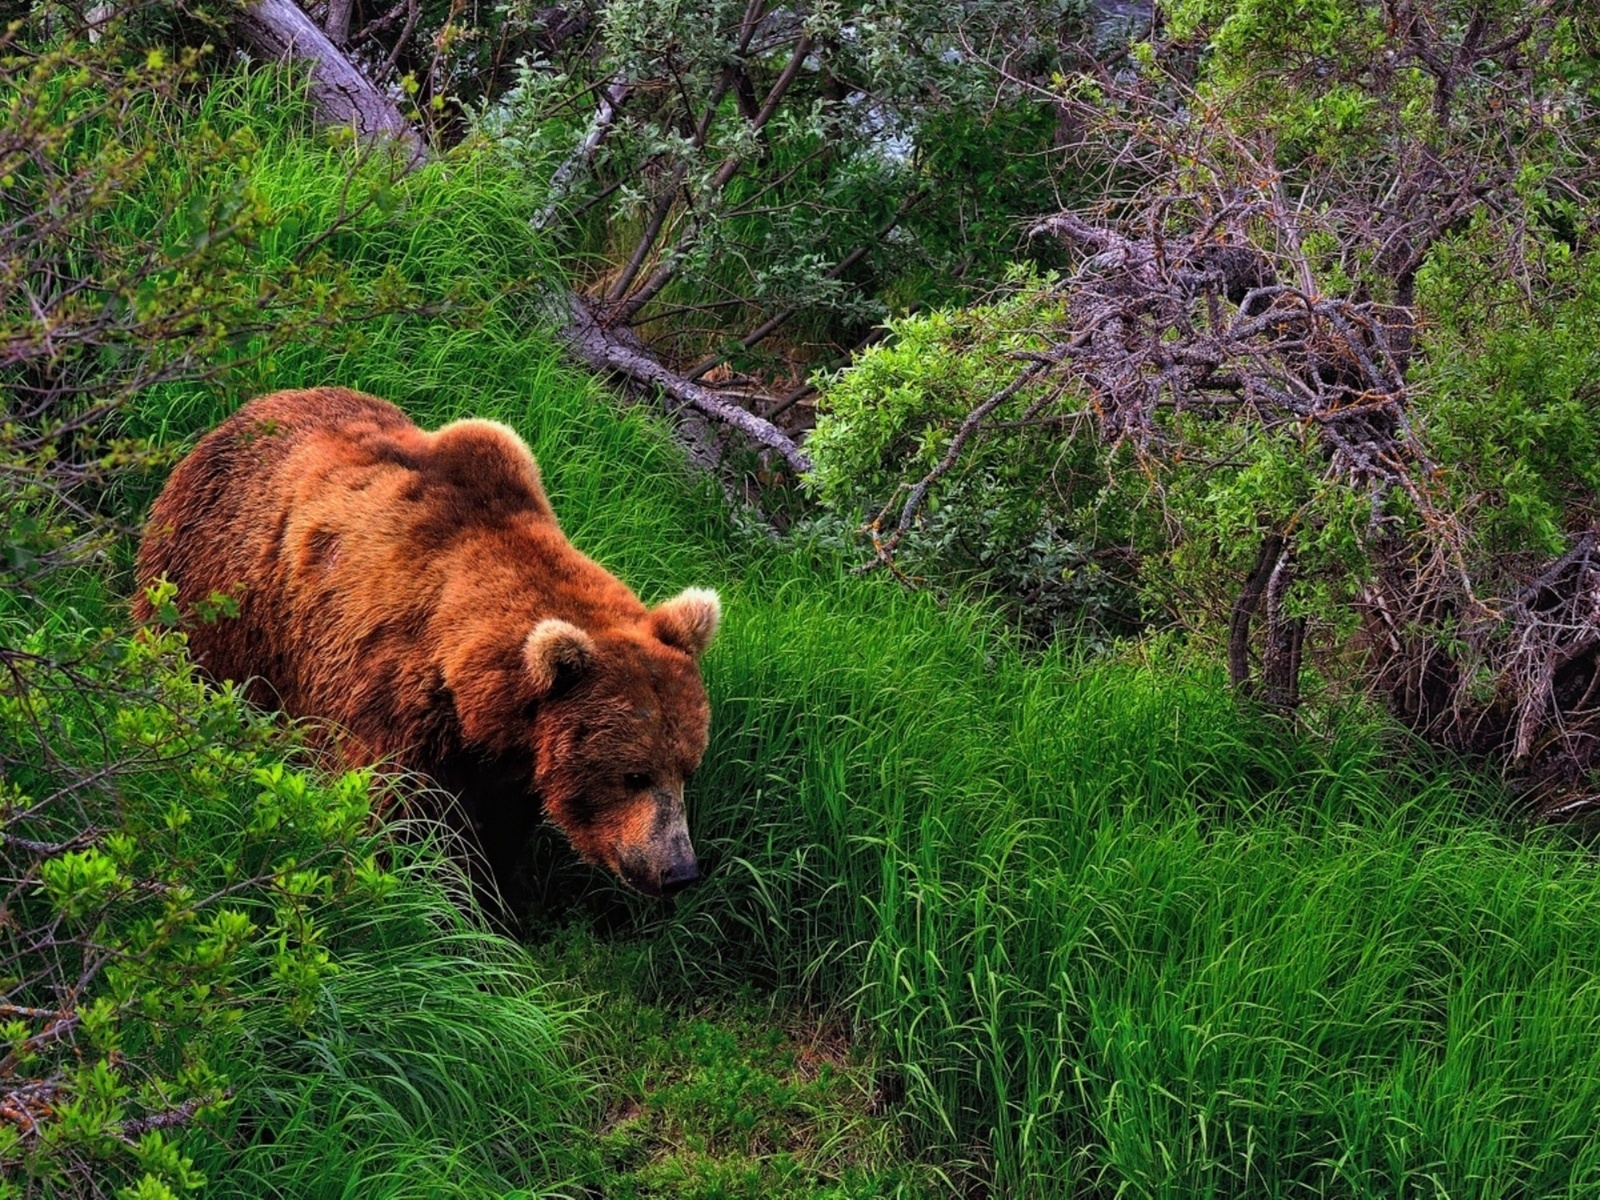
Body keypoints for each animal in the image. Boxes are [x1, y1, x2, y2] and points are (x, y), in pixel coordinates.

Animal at [134, 387, 719, 904]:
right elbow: (387, 818)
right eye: (633, 774)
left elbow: (496, 834)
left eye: (687, 767)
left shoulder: (505, 761)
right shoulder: (385, 700)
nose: (678, 871)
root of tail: (241, 413)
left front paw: (493, 900)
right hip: (214, 597)